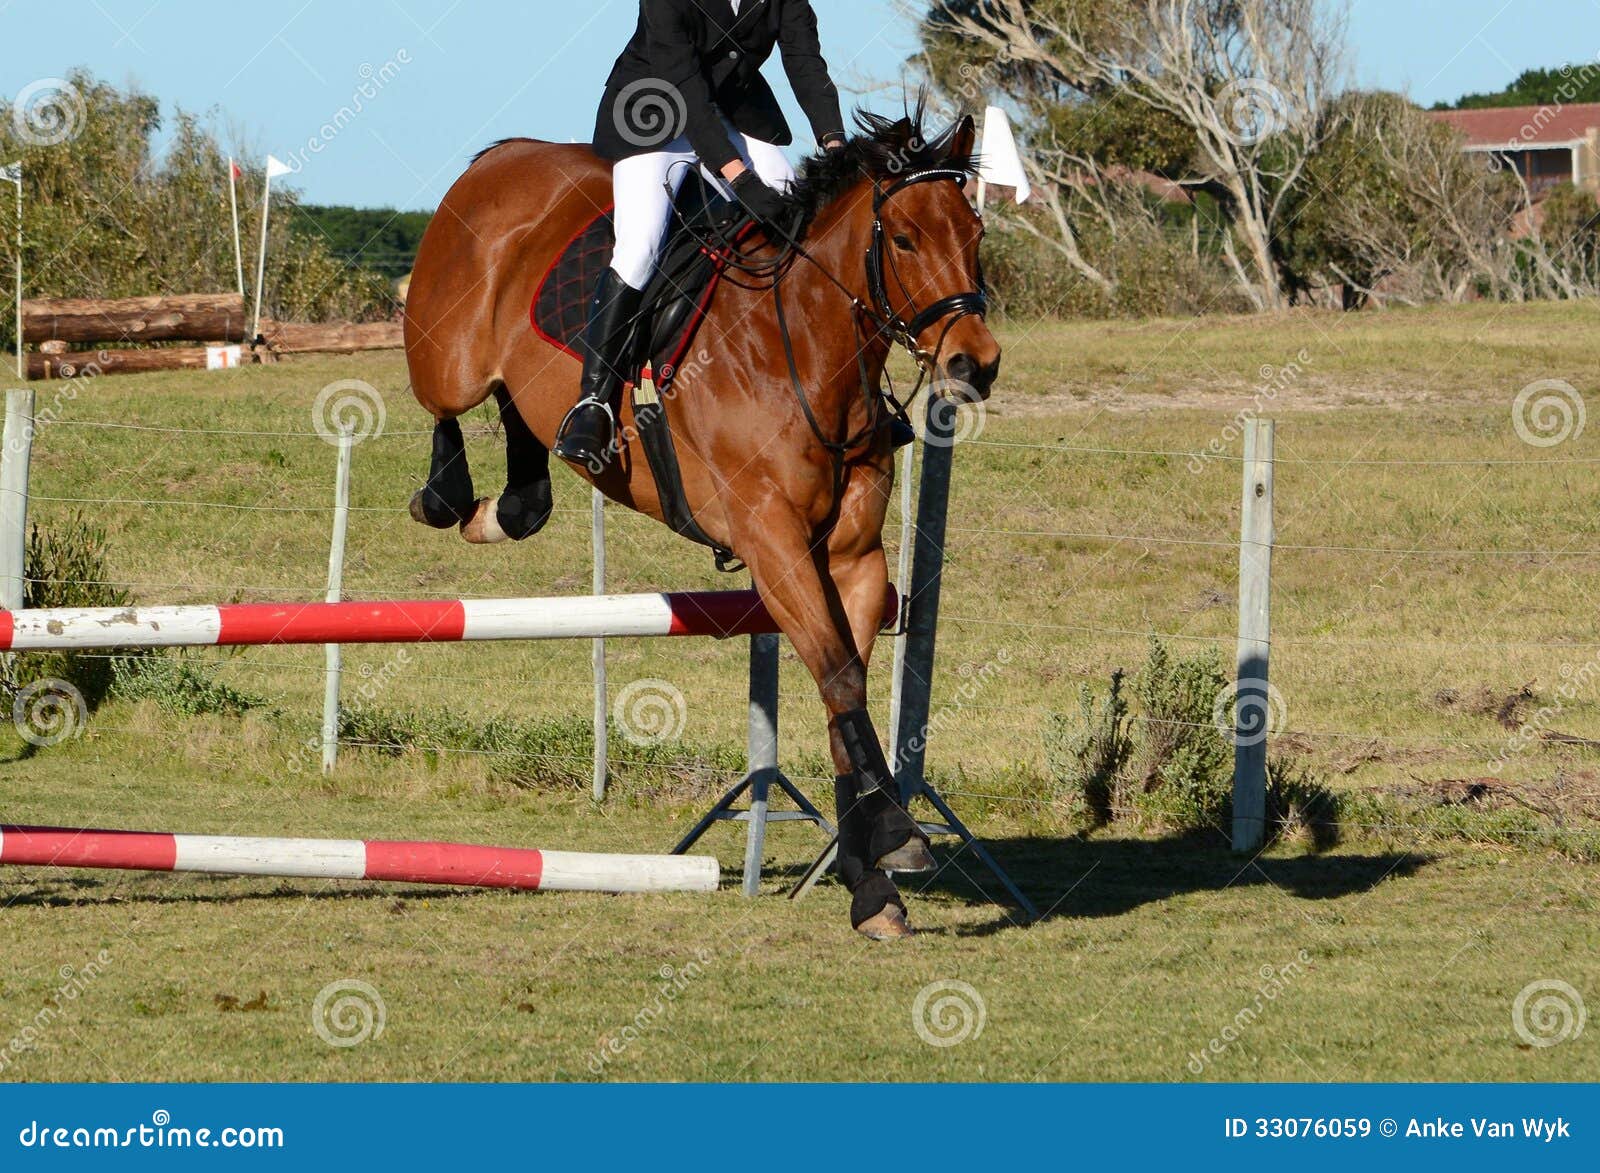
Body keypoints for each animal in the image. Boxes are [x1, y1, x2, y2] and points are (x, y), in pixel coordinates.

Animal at [402, 107, 1000, 937]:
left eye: (974, 232)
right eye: (906, 239)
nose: (977, 364)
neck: (806, 347)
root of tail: (503, 157)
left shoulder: (853, 557)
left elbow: (840, 696)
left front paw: (869, 878)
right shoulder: (773, 543)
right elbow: (839, 673)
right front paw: (895, 837)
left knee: (521, 440)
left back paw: (510, 502)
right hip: (448, 352)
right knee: (444, 404)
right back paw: (452, 495)